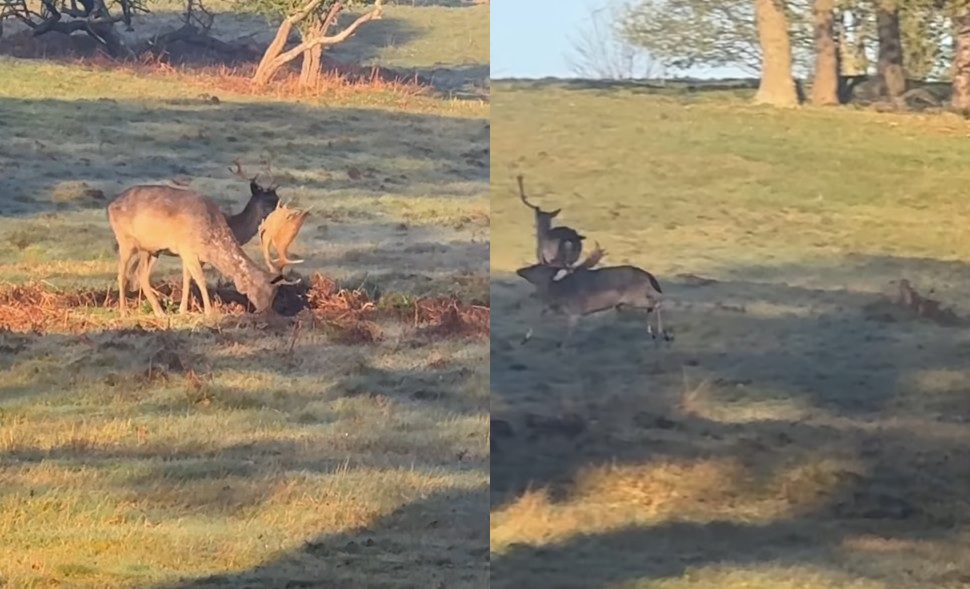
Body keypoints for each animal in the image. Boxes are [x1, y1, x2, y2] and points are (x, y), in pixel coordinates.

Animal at [108, 185, 298, 318]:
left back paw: (159, 310)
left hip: (153, 249)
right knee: (123, 273)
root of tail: (110, 205)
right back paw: (124, 312)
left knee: (140, 274)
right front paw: (209, 311)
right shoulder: (186, 249)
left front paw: (182, 310)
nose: (268, 313)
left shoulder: (190, 254)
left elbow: (187, 279)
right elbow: (200, 279)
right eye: (270, 291)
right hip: (125, 240)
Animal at [516, 244, 671, 345]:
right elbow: (538, 317)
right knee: (652, 304)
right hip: (633, 299)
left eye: (535, 267)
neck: (557, 290)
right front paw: (525, 339)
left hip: (635, 296)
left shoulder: (575, 311)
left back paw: (662, 334)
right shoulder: (552, 307)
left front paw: (563, 349)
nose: (519, 270)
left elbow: (568, 335)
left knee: (657, 301)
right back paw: (651, 332)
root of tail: (648, 274)